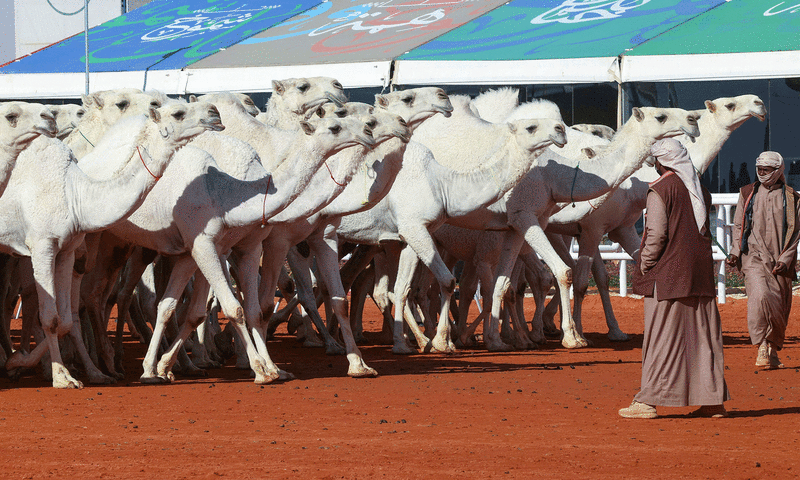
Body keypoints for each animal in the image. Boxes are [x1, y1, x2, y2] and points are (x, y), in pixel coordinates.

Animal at [2, 101, 224, 388]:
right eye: (178, 113)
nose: (214, 112)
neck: (76, 194)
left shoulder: (67, 249)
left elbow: (64, 319)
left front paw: (23, 362)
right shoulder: (42, 246)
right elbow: (50, 317)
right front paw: (59, 377)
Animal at [336, 116, 568, 354]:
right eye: (531, 127)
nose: (561, 130)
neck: (441, 185)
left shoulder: (412, 232)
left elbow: (402, 288)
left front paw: (406, 344)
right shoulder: (414, 227)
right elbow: (448, 281)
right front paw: (442, 342)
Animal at [412, 101, 699, 351]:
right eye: (660, 116)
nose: (693, 120)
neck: (553, 177)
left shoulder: (522, 225)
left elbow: (505, 284)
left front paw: (498, 339)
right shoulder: (527, 217)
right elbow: (564, 273)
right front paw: (572, 337)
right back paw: (432, 339)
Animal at [543, 94, 767, 340]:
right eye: (730, 105)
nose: (759, 103)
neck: (631, 187)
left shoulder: (616, 229)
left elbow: (604, 276)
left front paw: (614, 331)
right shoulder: (592, 229)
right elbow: (582, 279)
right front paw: (579, 332)